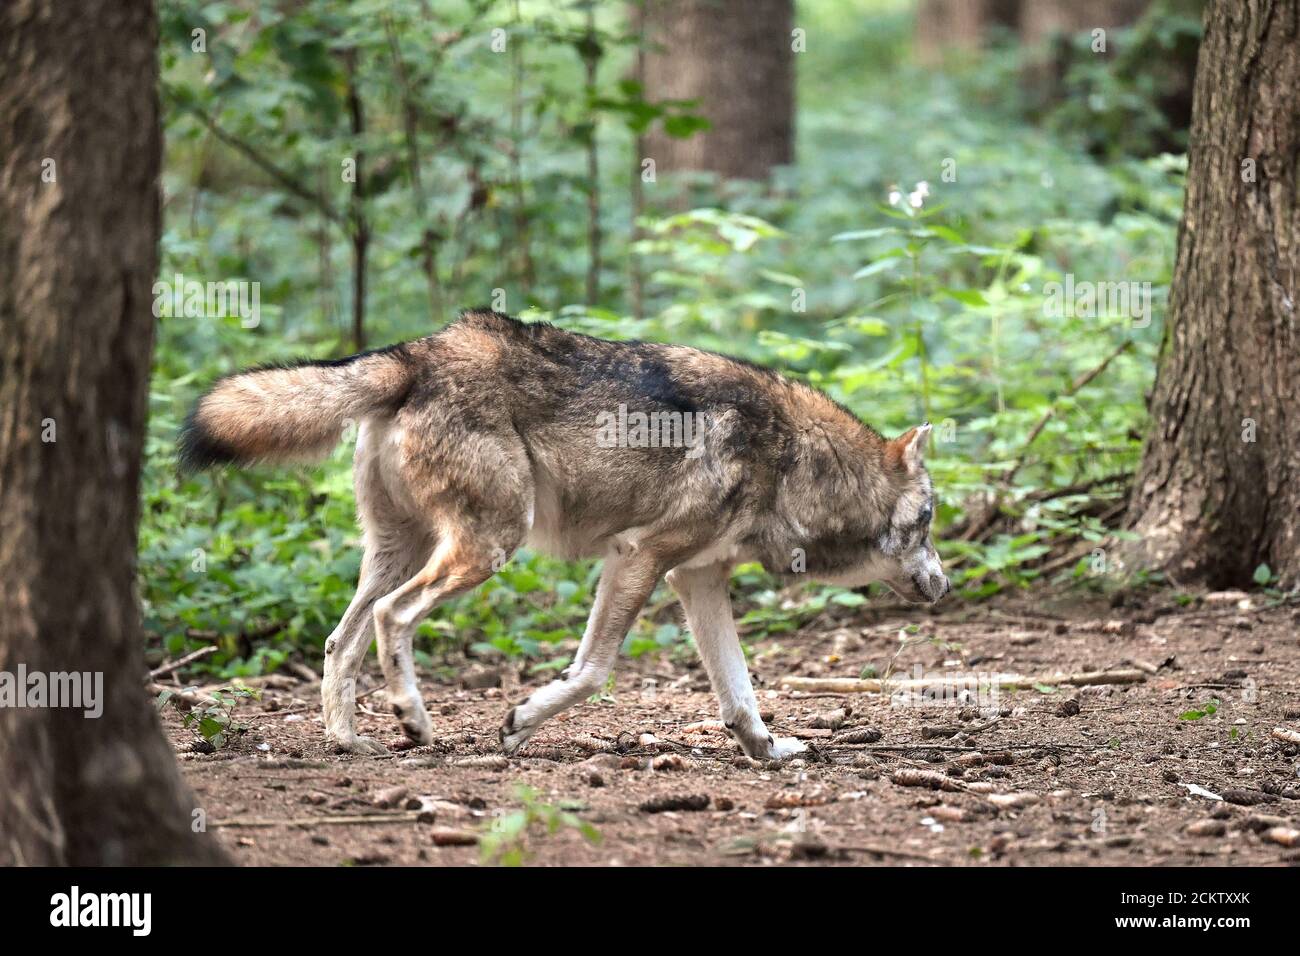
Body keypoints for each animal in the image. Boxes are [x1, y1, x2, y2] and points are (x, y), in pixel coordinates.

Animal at [180, 310, 949, 759]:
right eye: (929, 522)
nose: (945, 585)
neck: (795, 458)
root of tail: (417, 352)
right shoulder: (640, 556)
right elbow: (592, 671)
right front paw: (519, 720)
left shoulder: (695, 577)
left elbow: (740, 691)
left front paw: (768, 751)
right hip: (487, 548)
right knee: (392, 619)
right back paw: (414, 723)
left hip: (402, 552)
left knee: (341, 640)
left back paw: (347, 742)